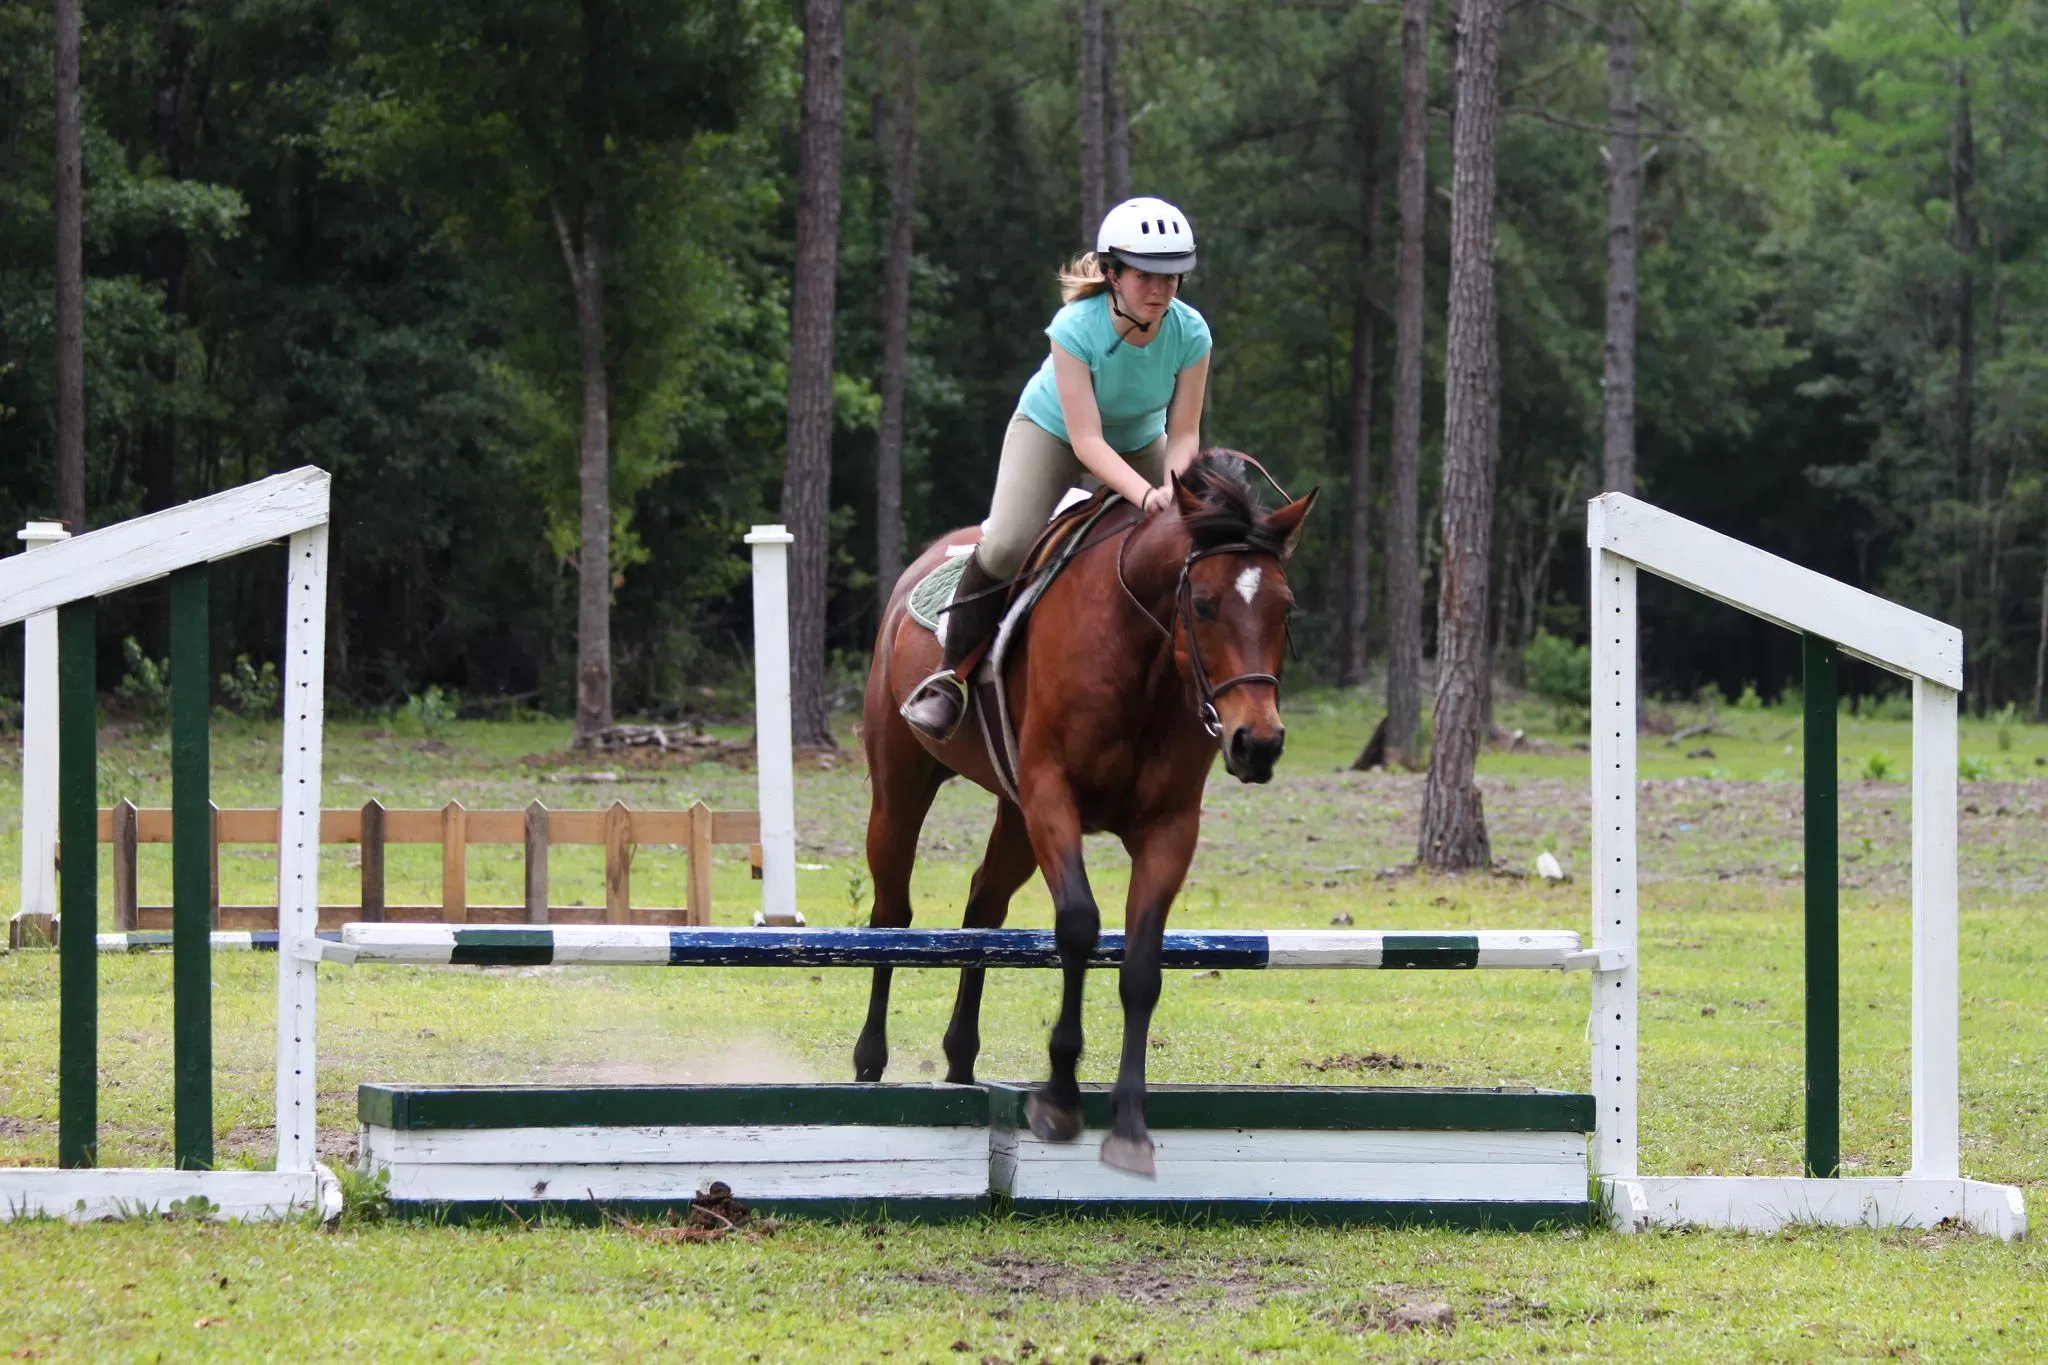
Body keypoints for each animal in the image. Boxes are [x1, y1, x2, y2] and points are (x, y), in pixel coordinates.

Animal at [847, 450, 1310, 1178]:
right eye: (1204, 604)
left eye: (1283, 607)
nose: (1256, 743)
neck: (1145, 660)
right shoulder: (1051, 797)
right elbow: (1079, 926)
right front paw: (1059, 1097)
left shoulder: (1169, 829)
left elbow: (1142, 968)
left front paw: (1129, 1126)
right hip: (903, 788)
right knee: (892, 912)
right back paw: (870, 1061)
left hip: (1013, 817)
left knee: (983, 907)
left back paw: (960, 1057)